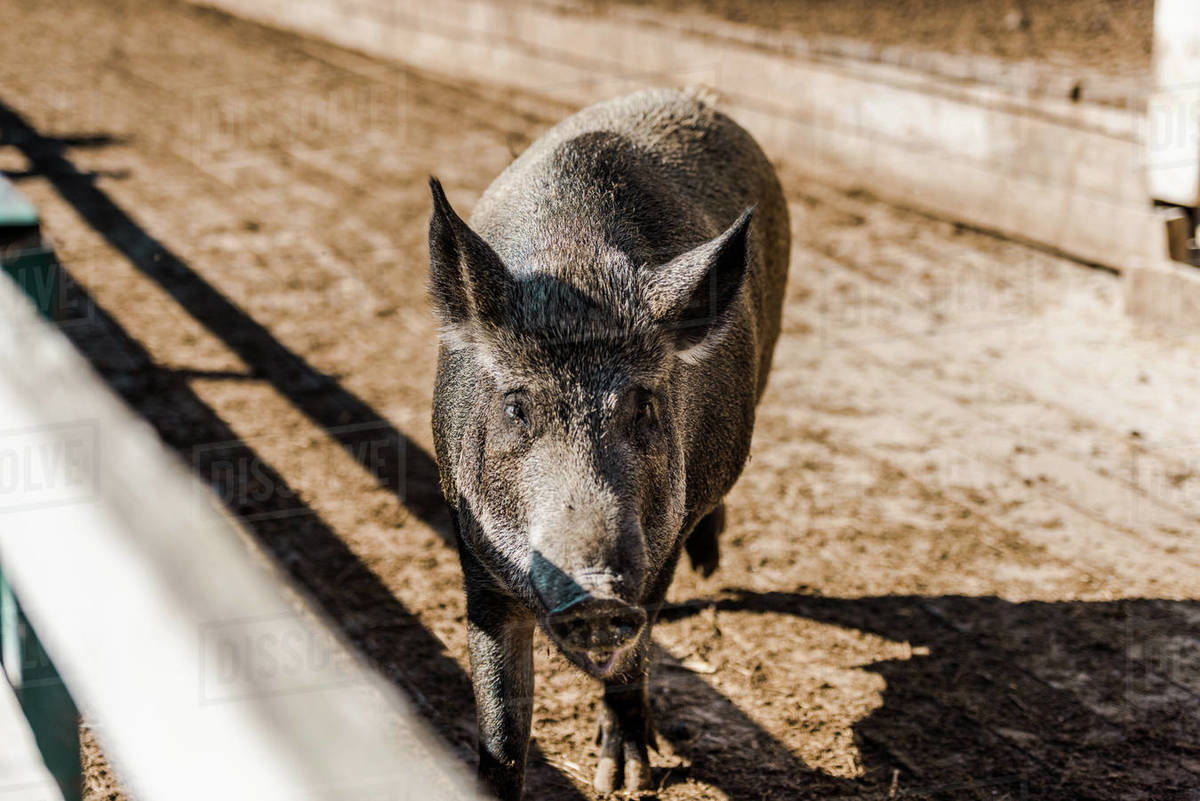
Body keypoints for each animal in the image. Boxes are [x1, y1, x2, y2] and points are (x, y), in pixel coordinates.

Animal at [429, 87, 789, 800]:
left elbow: (631, 660)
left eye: (644, 404)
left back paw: (713, 567)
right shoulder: (472, 543)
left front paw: (623, 780)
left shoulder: (659, 544)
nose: (595, 592)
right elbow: (502, 720)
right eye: (515, 406)